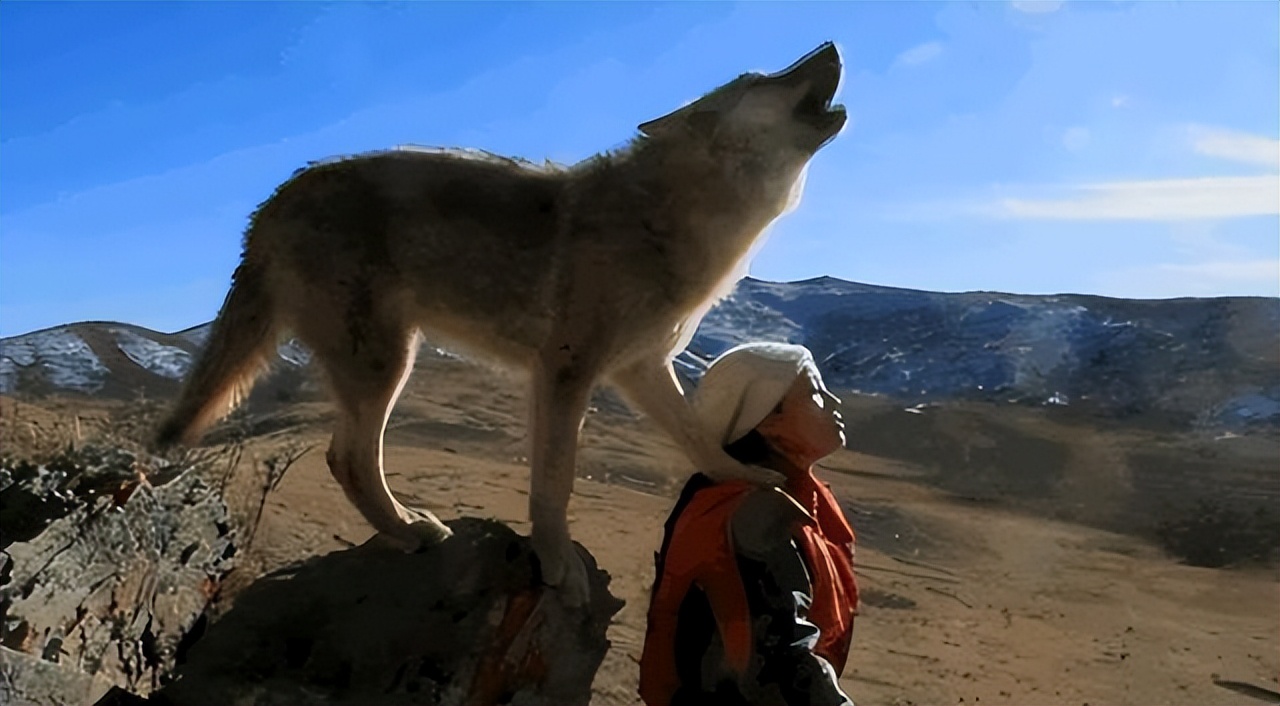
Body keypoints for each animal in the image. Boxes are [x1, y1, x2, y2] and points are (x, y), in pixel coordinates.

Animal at [154, 42, 847, 604]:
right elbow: (555, 481)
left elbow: (699, 439)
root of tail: (269, 205)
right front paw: (558, 565)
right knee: (347, 458)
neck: (677, 221)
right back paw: (411, 531)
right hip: (387, 364)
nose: (833, 43)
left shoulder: (643, 370)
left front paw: (750, 479)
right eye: (759, 78)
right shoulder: (565, 371)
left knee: (342, 456)